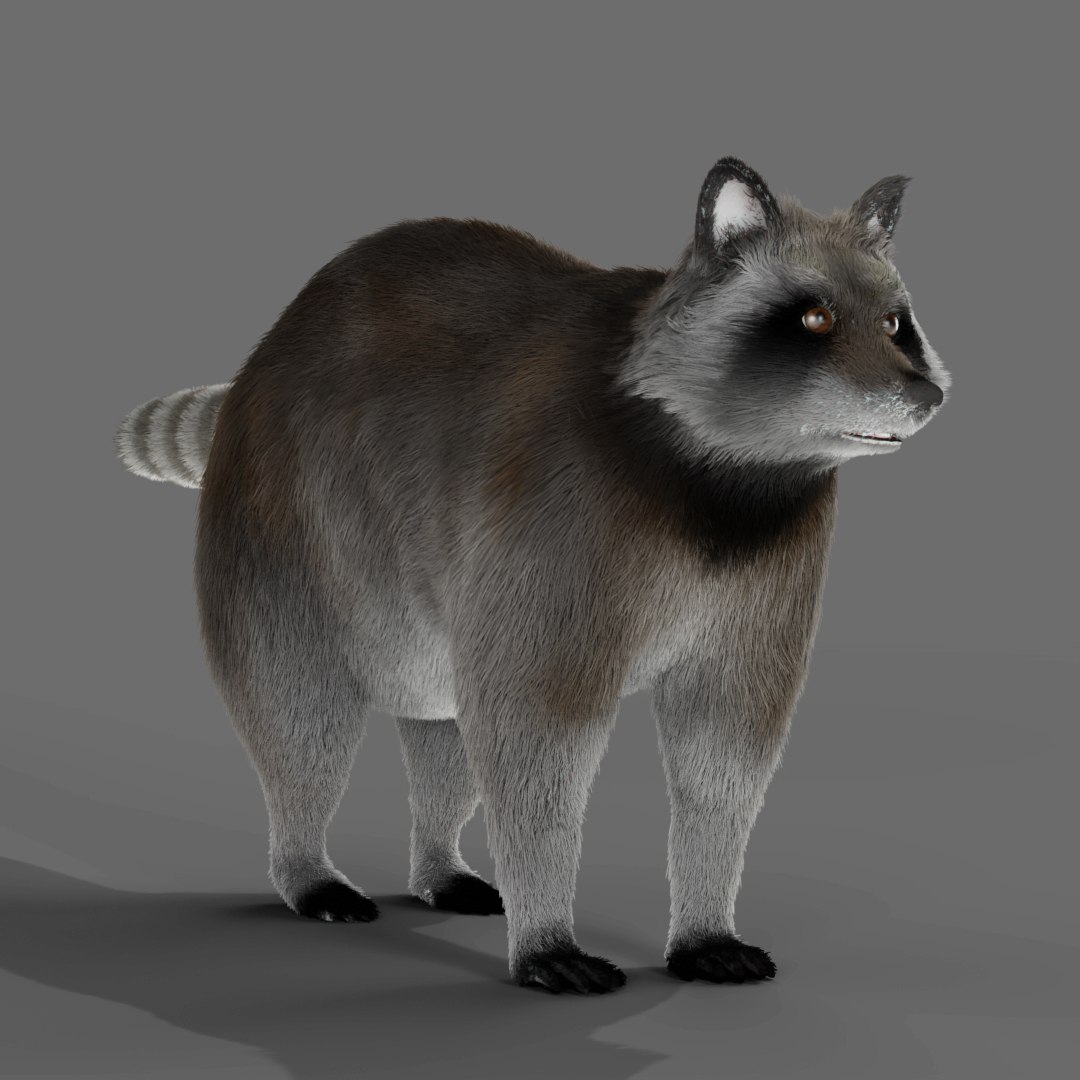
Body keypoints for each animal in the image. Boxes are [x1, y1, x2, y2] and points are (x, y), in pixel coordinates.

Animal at [114, 157, 950, 994]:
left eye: (895, 323)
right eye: (815, 319)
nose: (929, 394)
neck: (731, 476)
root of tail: (263, 357)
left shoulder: (767, 580)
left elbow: (724, 754)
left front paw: (705, 922)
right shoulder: (557, 529)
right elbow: (537, 744)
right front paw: (546, 932)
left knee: (446, 737)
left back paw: (437, 861)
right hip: (286, 541)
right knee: (298, 720)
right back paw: (304, 861)